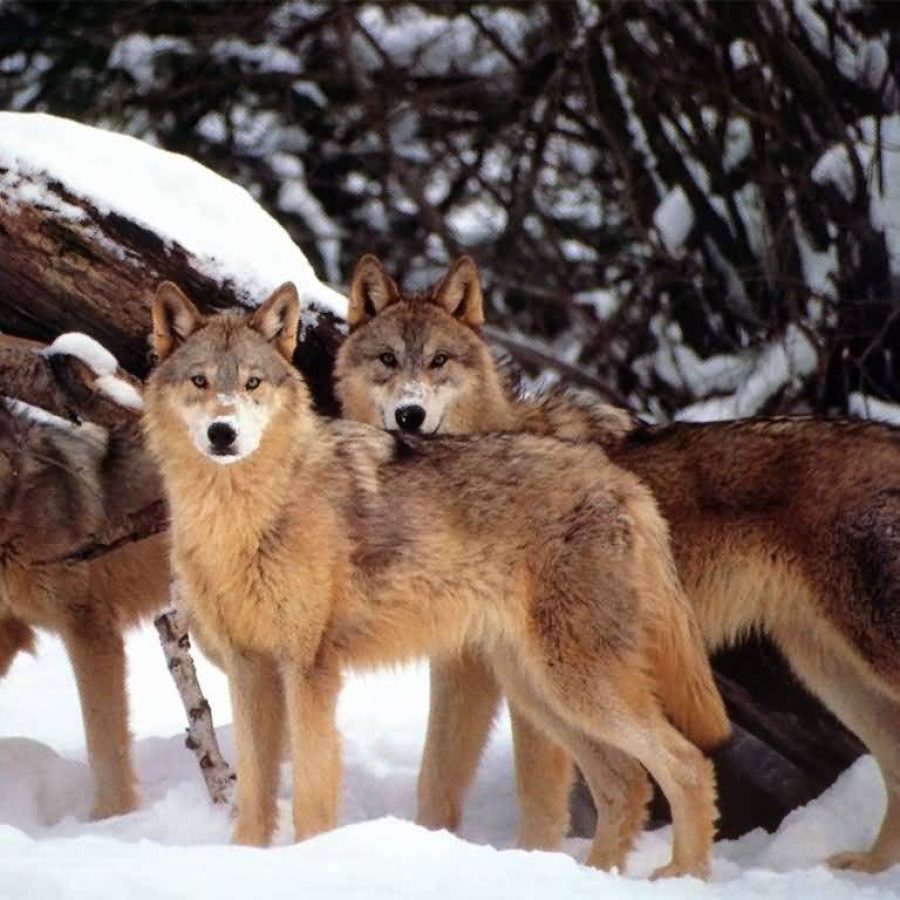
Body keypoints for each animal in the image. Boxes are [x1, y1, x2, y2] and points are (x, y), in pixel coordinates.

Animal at [142, 279, 730, 878]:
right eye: (200, 381)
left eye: (252, 383)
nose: (223, 432)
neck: (244, 518)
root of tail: (619, 479)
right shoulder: (249, 671)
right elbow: (254, 800)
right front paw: (246, 862)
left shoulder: (310, 672)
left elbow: (310, 794)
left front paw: (312, 860)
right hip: (540, 692)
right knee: (626, 782)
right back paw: (595, 875)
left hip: (577, 685)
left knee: (687, 763)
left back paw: (683, 874)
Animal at [334, 253, 900, 875]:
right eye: (388, 360)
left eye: (438, 361)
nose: (409, 414)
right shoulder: (469, 667)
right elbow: (436, 781)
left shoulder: (513, 687)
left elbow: (537, 793)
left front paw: (535, 861)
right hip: (826, 671)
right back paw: (871, 867)